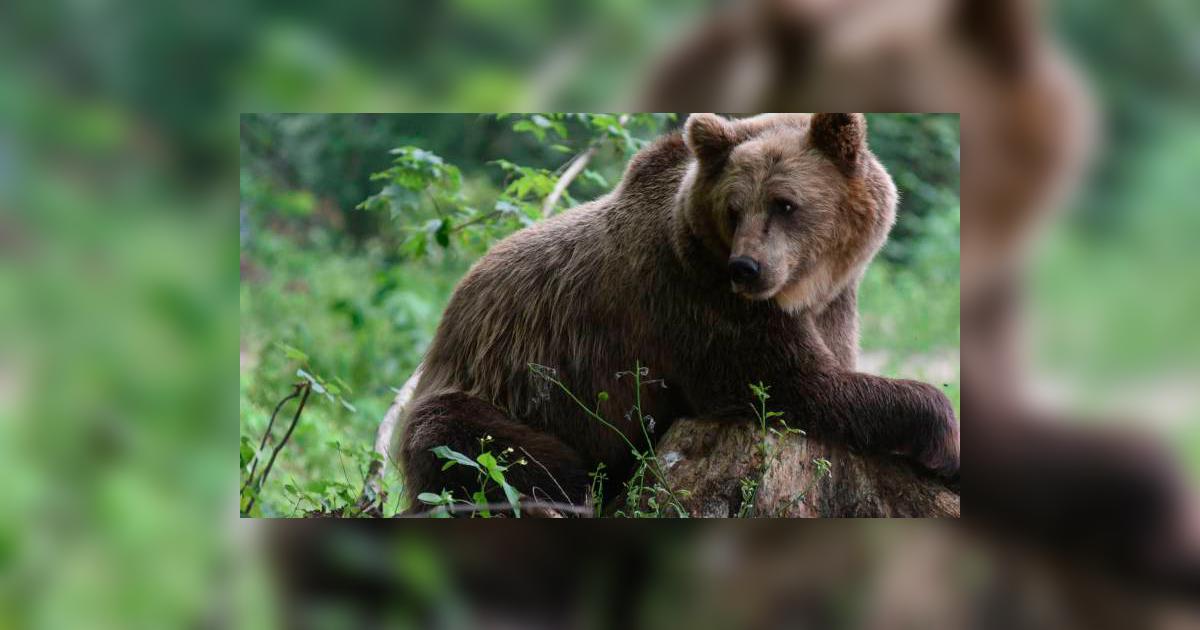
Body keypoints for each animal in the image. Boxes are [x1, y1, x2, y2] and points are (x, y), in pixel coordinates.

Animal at [399, 113, 960, 508]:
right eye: (734, 208)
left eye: (785, 203)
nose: (746, 267)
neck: (801, 290)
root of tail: (448, 319)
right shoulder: (697, 300)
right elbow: (791, 385)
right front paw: (944, 438)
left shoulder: (833, 304)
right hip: (489, 389)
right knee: (476, 449)